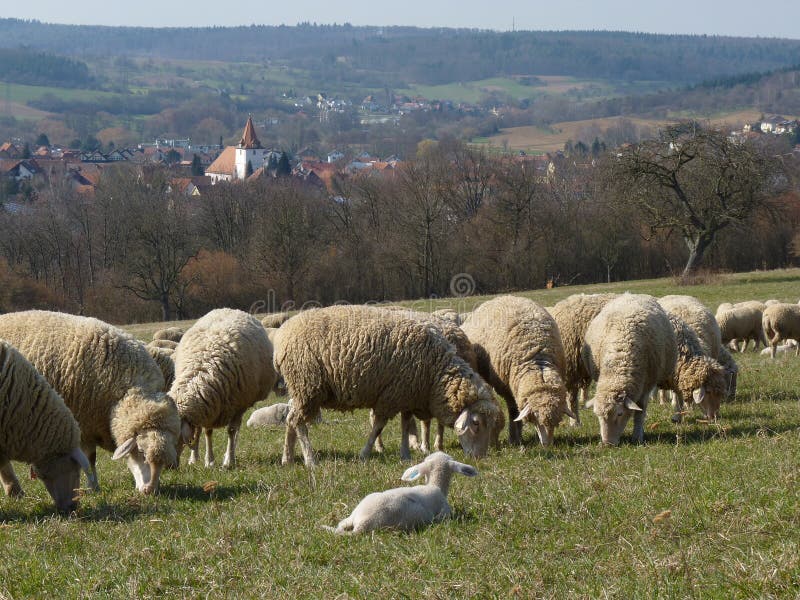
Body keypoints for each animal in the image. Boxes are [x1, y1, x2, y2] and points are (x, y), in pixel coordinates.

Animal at [0, 310, 185, 495]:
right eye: (141, 450)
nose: (149, 491)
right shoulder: (83, 424)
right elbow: (90, 459)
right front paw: (93, 486)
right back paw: (14, 490)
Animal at [170, 308, 277, 469]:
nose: (169, 467)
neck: (203, 369)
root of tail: (228, 309)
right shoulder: (210, 407)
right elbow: (207, 431)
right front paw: (209, 461)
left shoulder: (238, 405)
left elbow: (231, 431)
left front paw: (228, 461)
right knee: (199, 430)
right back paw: (194, 458)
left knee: (235, 429)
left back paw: (229, 453)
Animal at [275, 305, 501, 466]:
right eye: (476, 424)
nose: (480, 458)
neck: (435, 372)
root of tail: (282, 336)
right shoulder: (391, 396)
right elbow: (378, 427)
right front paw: (365, 453)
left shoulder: (406, 395)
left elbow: (405, 425)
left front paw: (405, 454)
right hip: (308, 385)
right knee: (298, 421)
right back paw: (310, 460)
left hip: (302, 389)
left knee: (291, 419)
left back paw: (288, 458)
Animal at [461, 295, 574, 446]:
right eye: (535, 417)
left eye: (557, 421)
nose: (547, 445)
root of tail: (500, 297)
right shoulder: (507, 389)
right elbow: (514, 411)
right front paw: (515, 438)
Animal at [582, 294, 678, 445]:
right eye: (597, 415)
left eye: (620, 414)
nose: (607, 444)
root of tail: (630, 294)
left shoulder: (645, 386)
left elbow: (640, 413)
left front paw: (637, 436)